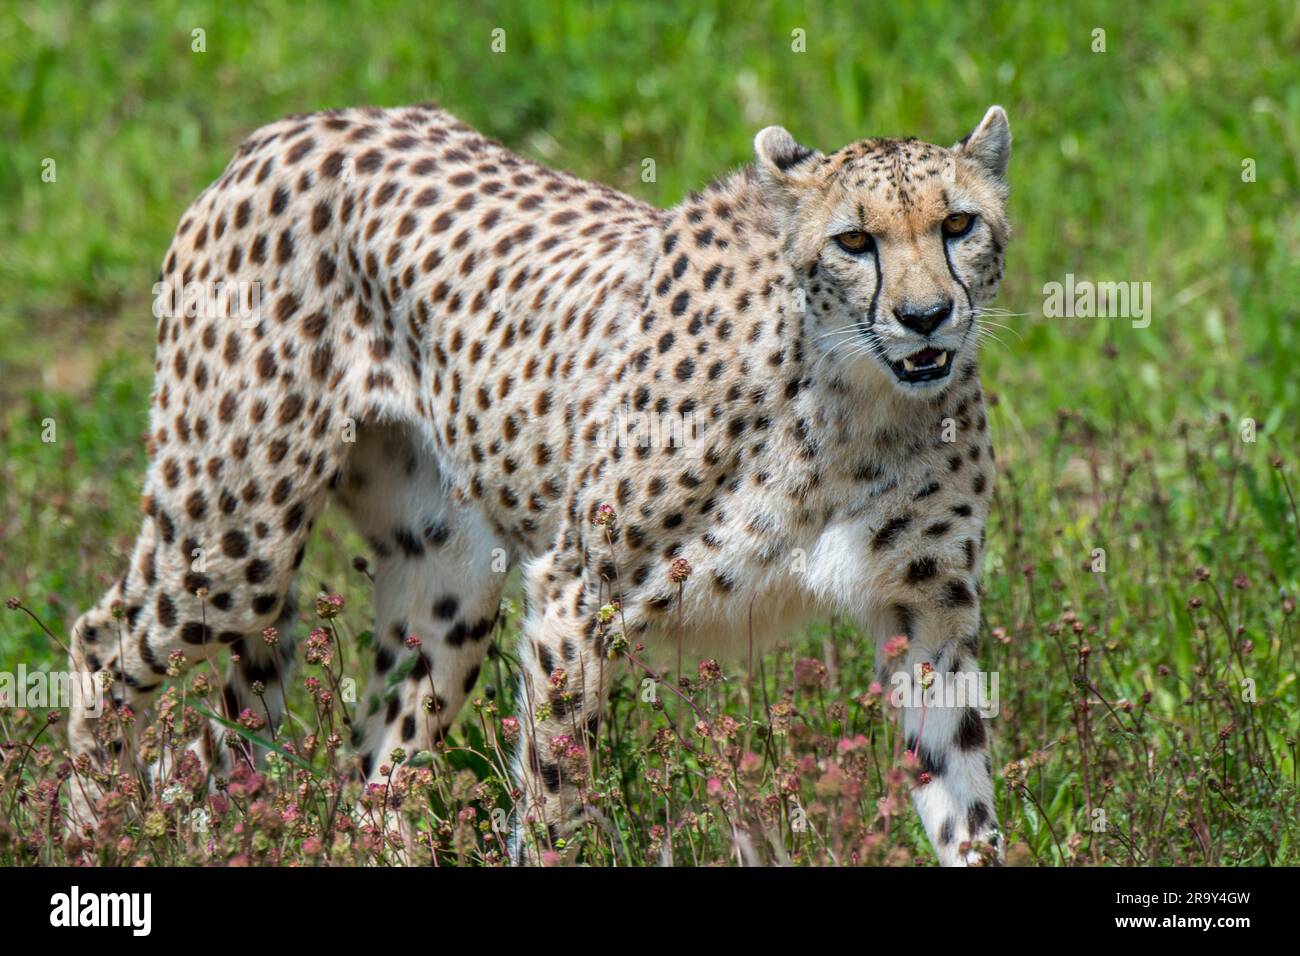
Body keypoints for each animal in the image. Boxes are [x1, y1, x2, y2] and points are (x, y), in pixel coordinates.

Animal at [66, 101, 1012, 865]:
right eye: (855, 241)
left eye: (959, 224)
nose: (926, 317)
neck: (859, 400)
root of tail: (294, 127)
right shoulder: (574, 594)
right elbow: (557, 793)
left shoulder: (927, 616)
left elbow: (963, 793)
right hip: (237, 544)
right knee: (99, 643)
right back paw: (89, 828)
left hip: (446, 588)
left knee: (372, 771)